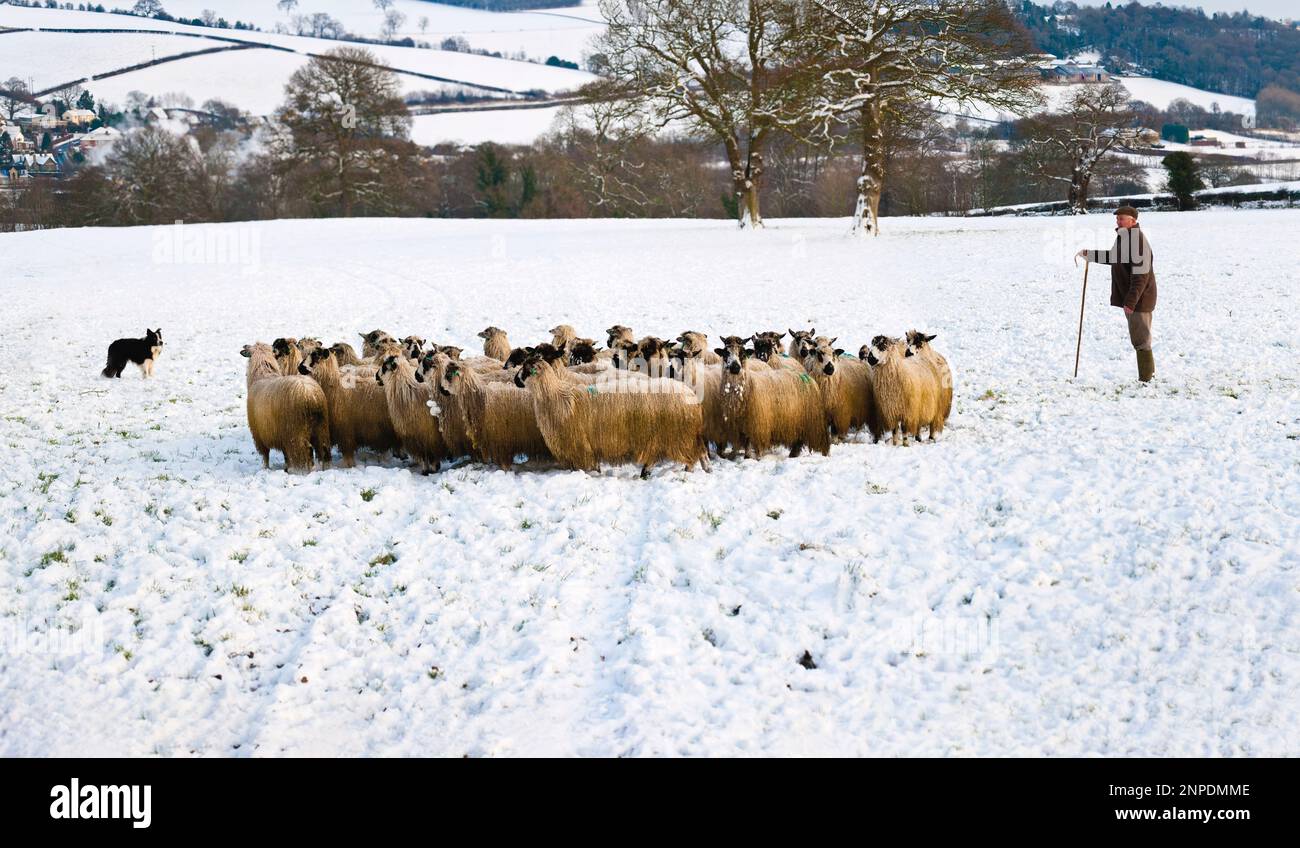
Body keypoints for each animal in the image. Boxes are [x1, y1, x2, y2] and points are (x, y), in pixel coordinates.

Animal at [241, 342, 330, 473]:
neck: (262, 375)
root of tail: (311, 396)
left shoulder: (260, 435)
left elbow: (265, 456)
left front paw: (266, 468)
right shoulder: (281, 435)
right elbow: (286, 455)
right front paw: (287, 467)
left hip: (296, 433)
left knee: (307, 451)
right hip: (321, 427)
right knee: (323, 449)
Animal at [514, 350, 709, 477]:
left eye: (526, 369)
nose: (515, 380)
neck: (556, 397)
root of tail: (690, 394)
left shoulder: (579, 445)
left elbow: (587, 465)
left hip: (677, 435)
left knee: (694, 452)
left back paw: (689, 469)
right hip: (666, 435)